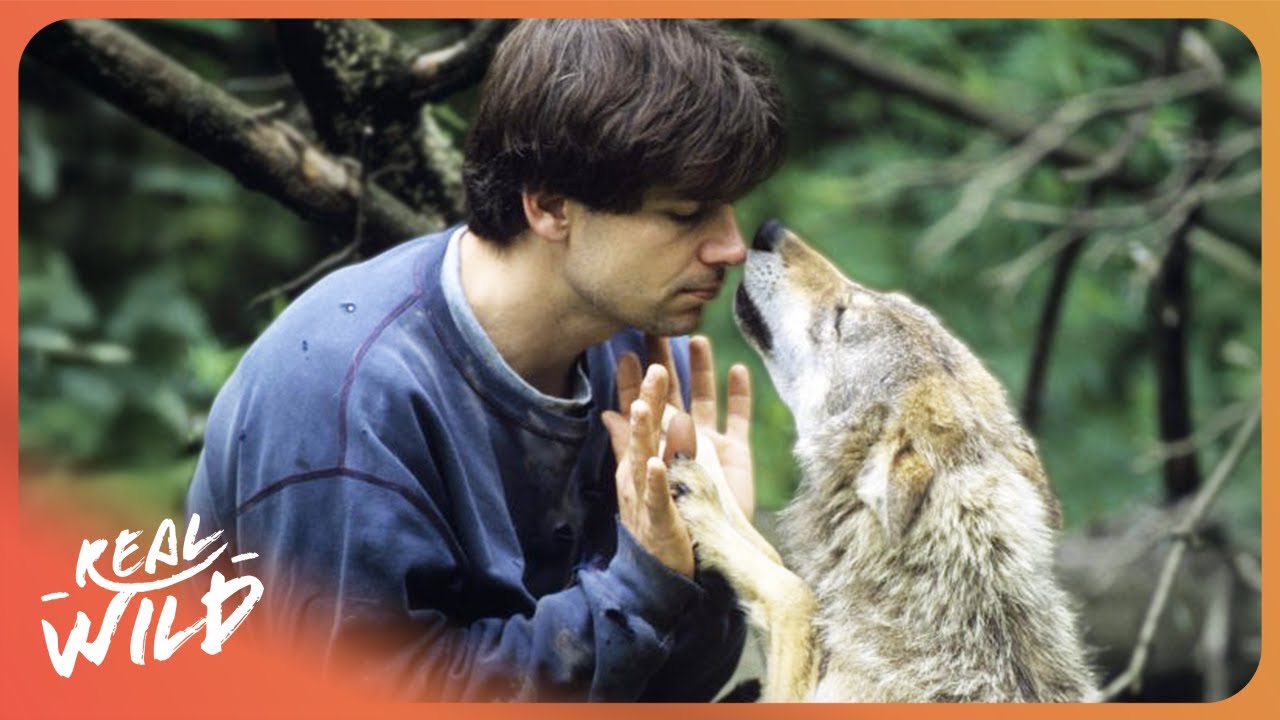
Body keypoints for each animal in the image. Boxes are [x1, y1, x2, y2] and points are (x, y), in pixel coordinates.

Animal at [667, 220, 1096, 702]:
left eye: (841, 318)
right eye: (888, 296)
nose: (770, 230)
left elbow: (796, 593)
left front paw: (702, 494)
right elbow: (773, 554)